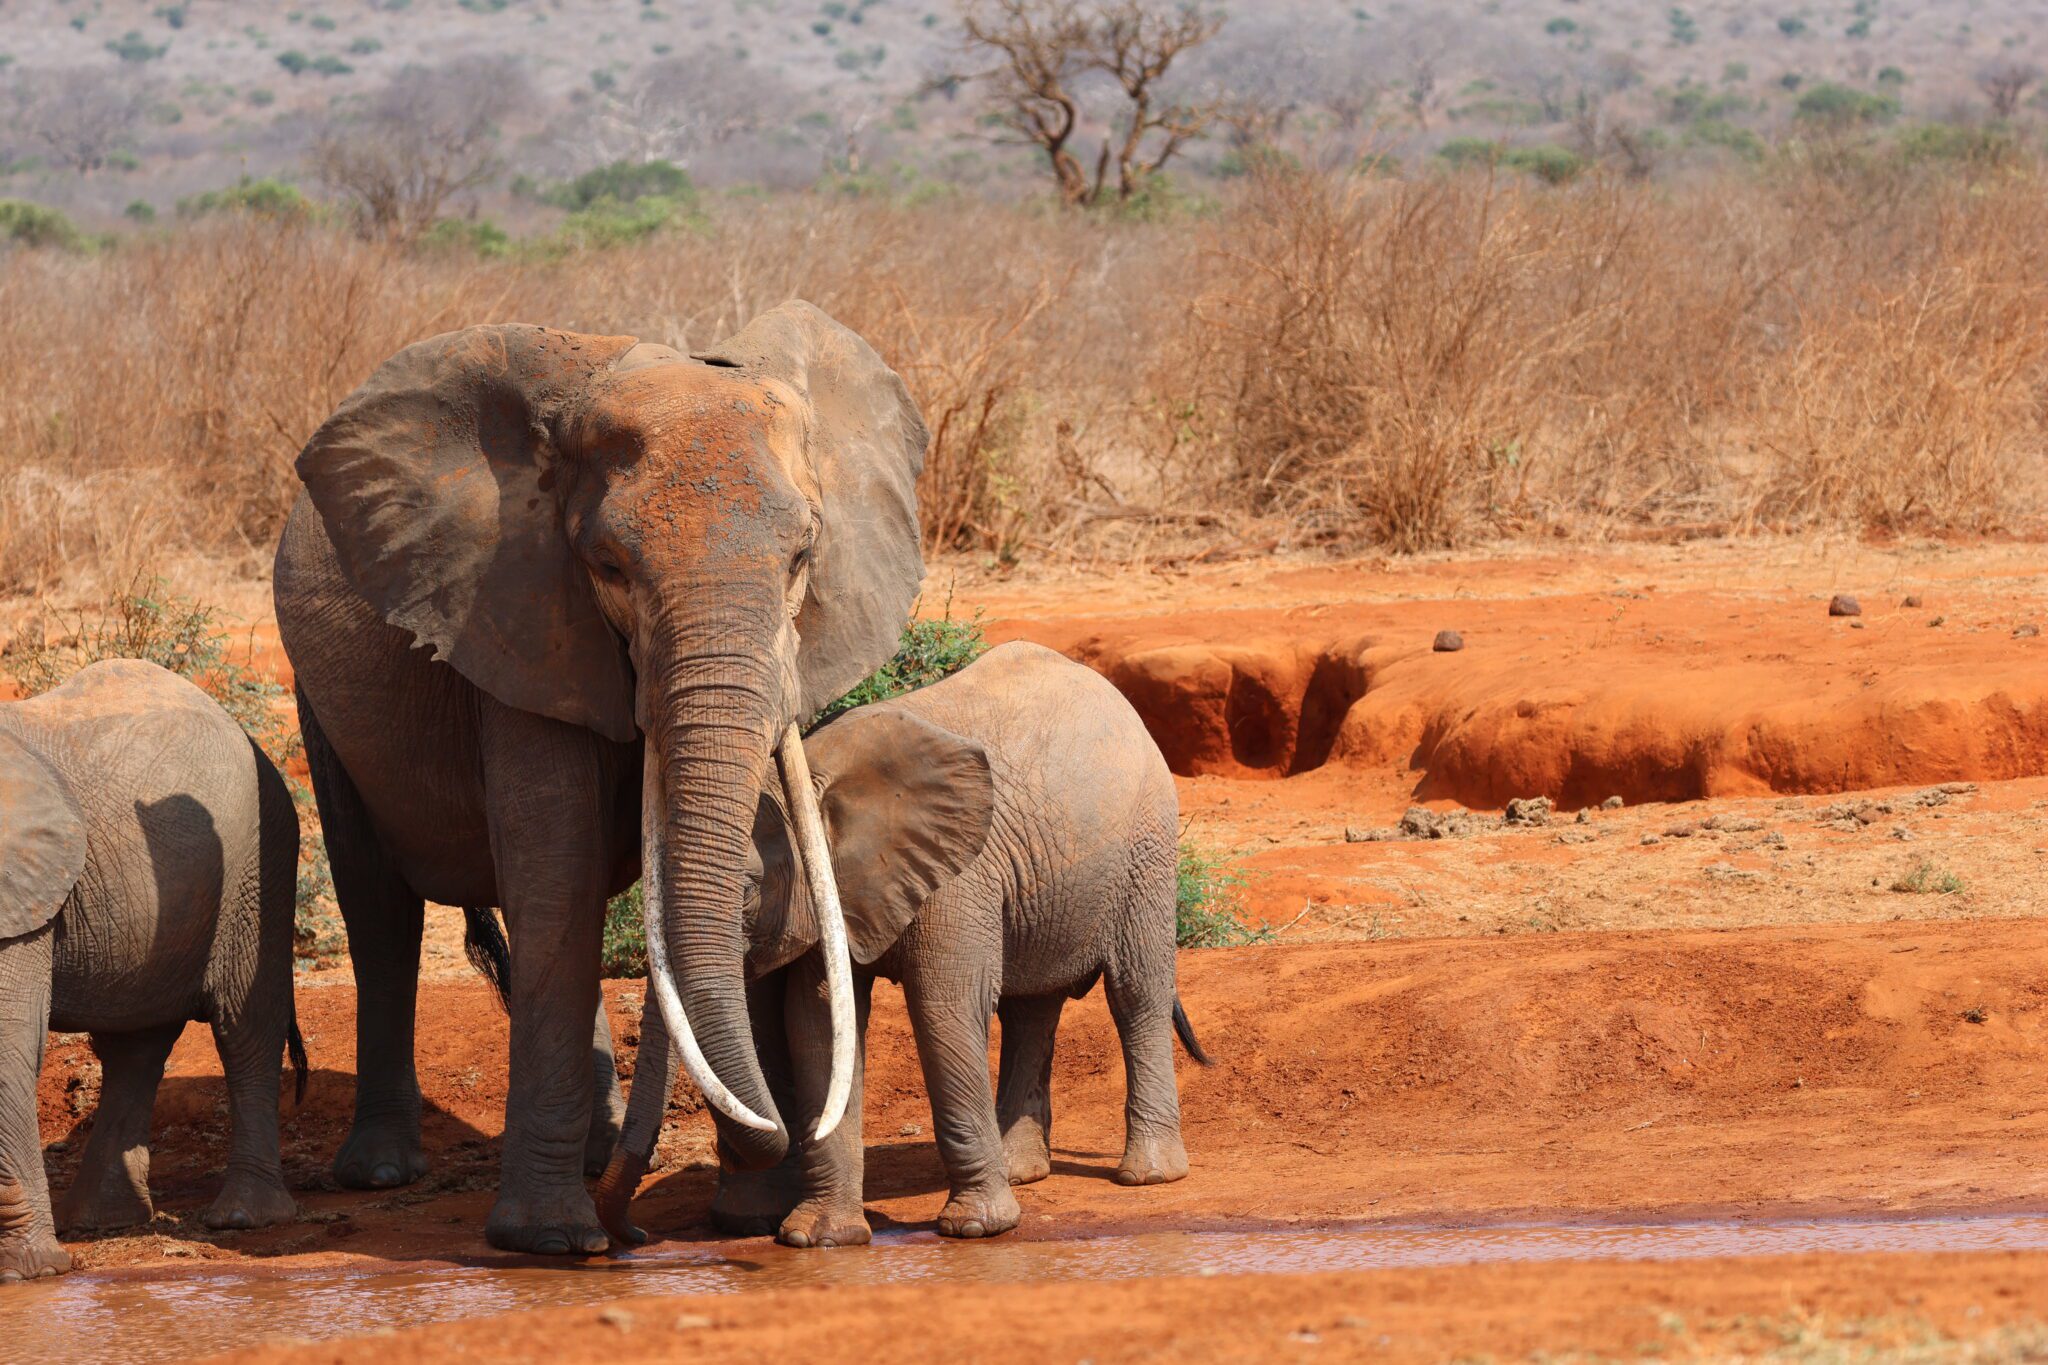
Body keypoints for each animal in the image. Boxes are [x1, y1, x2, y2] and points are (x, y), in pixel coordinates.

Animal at [0, 660, 305, 1282]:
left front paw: (30, 1273)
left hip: (257, 862)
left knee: (245, 1027)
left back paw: (243, 1218)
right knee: (132, 1045)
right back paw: (101, 1222)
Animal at [274, 301, 927, 1254]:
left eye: (804, 559)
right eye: (610, 568)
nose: (638, 1234)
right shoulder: (515, 609)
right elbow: (558, 869)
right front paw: (549, 1243)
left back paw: (596, 1151)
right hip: (320, 698)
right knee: (383, 906)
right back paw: (388, 1171)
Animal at [596, 641, 1211, 1249]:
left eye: (747, 890)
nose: (636, 1236)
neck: (815, 776)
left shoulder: (959, 879)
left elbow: (946, 1008)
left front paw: (976, 1229)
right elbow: (819, 1021)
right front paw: (821, 1240)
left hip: (1148, 844)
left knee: (1136, 992)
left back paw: (1148, 1175)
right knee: (1030, 1008)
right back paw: (1020, 1171)